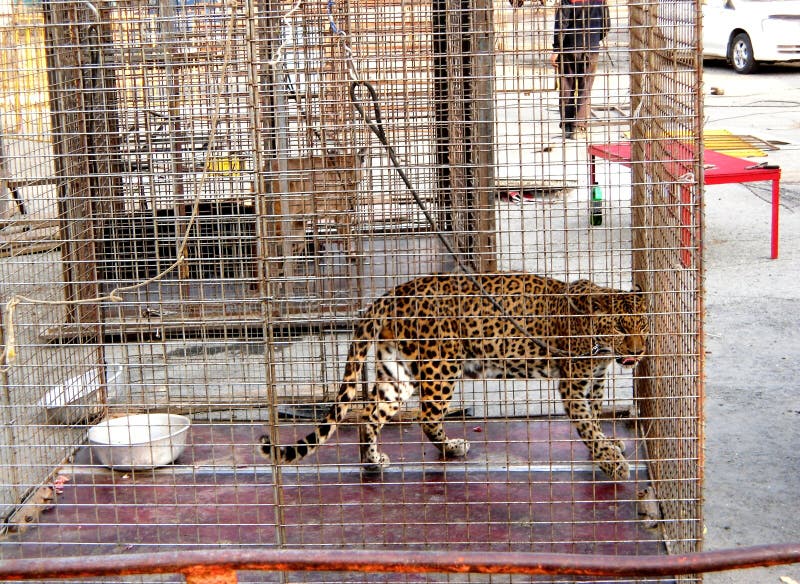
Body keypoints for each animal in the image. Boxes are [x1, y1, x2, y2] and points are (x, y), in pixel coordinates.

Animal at [259, 272, 649, 481]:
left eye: (643, 326)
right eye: (620, 327)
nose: (639, 349)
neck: (601, 346)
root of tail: (390, 295)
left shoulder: (593, 383)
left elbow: (595, 419)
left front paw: (608, 448)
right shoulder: (572, 386)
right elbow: (588, 426)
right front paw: (613, 463)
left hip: (396, 374)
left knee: (371, 415)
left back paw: (372, 462)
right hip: (441, 367)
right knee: (427, 417)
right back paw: (450, 447)